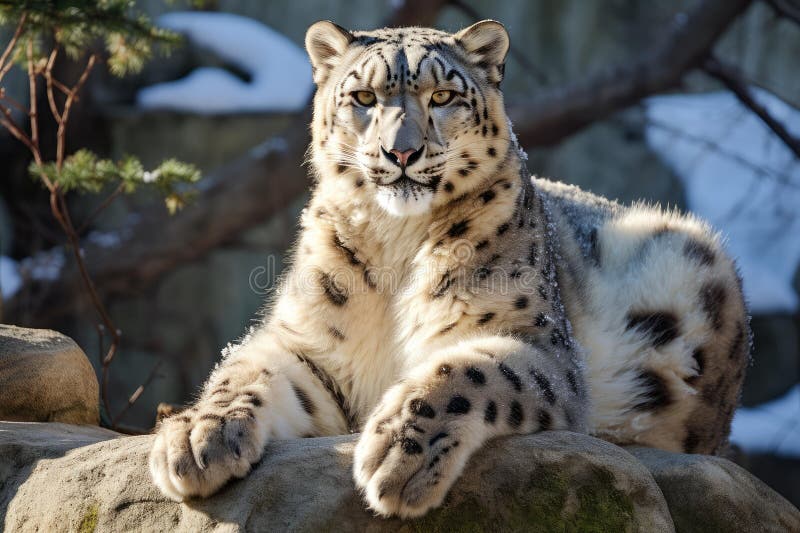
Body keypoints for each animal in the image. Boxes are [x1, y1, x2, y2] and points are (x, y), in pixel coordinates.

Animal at [149, 19, 750, 518]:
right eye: (363, 96)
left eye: (442, 96)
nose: (401, 152)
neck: (394, 247)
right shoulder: (310, 345)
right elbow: (244, 370)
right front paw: (197, 439)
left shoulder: (536, 341)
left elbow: (468, 371)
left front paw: (398, 456)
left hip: (690, 268)